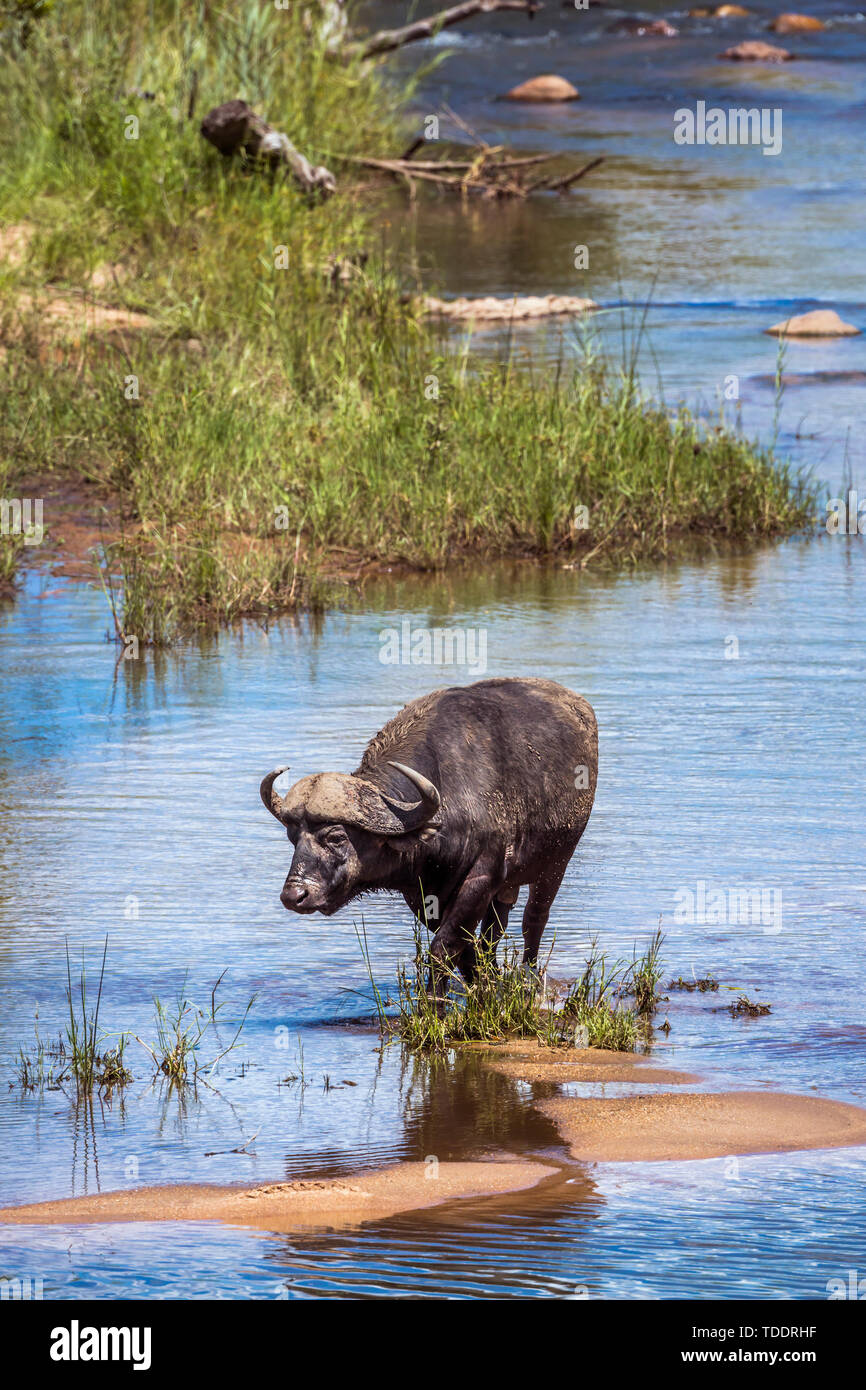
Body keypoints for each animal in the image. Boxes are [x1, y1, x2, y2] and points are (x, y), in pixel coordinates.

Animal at [260, 677, 597, 987]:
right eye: (293, 837)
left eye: (336, 837)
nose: (294, 895)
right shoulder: (422, 893)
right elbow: (466, 950)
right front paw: (483, 986)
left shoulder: (483, 876)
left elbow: (443, 949)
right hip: (509, 884)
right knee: (495, 928)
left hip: (556, 863)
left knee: (534, 919)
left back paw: (529, 976)